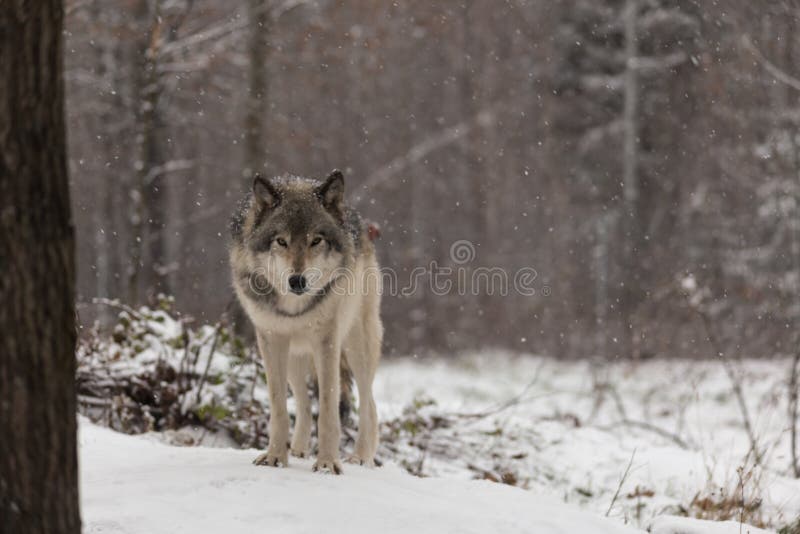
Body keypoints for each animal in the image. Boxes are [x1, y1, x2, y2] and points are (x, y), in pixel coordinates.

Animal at [229, 170, 382, 474]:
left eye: (316, 241)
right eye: (281, 241)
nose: (297, 280)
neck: (294, 309)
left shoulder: (327, 342)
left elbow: (328, 410)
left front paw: (327, 464)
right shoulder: (271, 339)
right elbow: (279, 408)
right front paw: (275, 457)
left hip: (357, 347)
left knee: (368, 403)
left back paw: (361, 457)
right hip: (295, 356)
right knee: (302, 403)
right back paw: (298, 451)